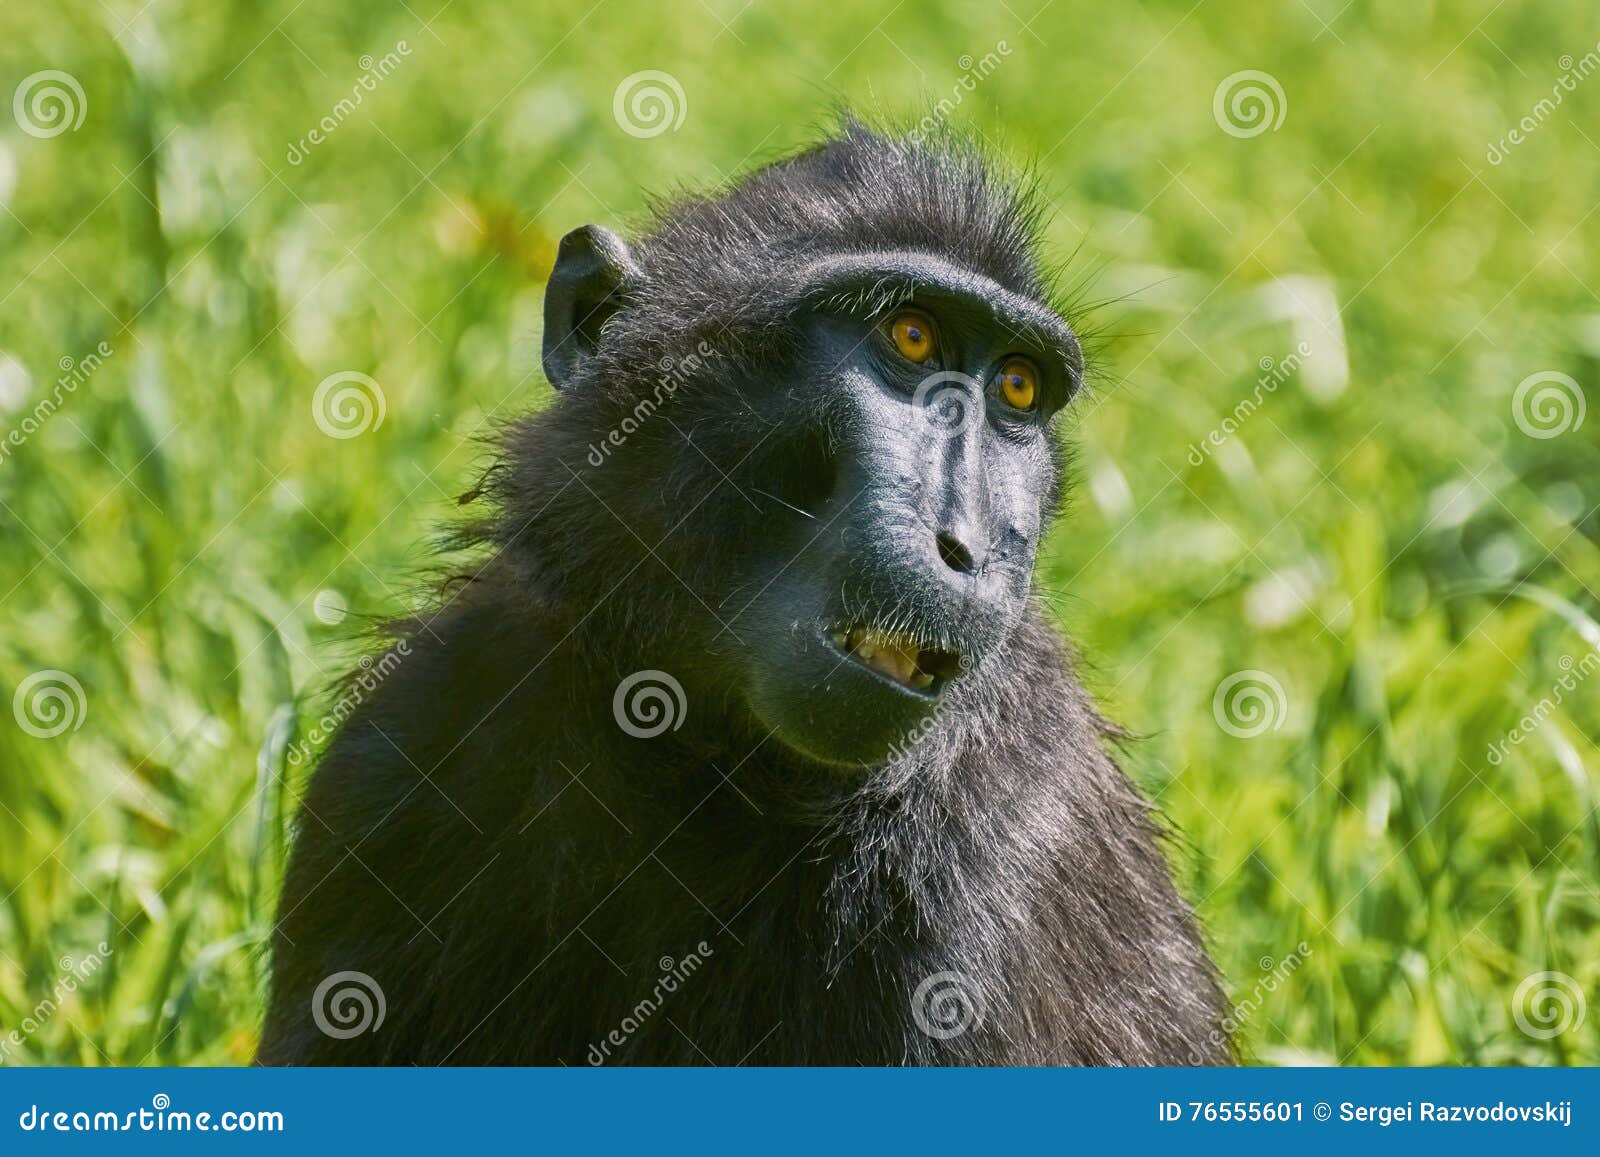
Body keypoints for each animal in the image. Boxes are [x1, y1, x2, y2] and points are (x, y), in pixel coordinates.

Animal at [257, 120, 1233, 1066]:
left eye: (1017, 390)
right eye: (911, 337)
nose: (969, 546)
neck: (696, 757)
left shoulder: (992, 860)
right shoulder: (395, 755)